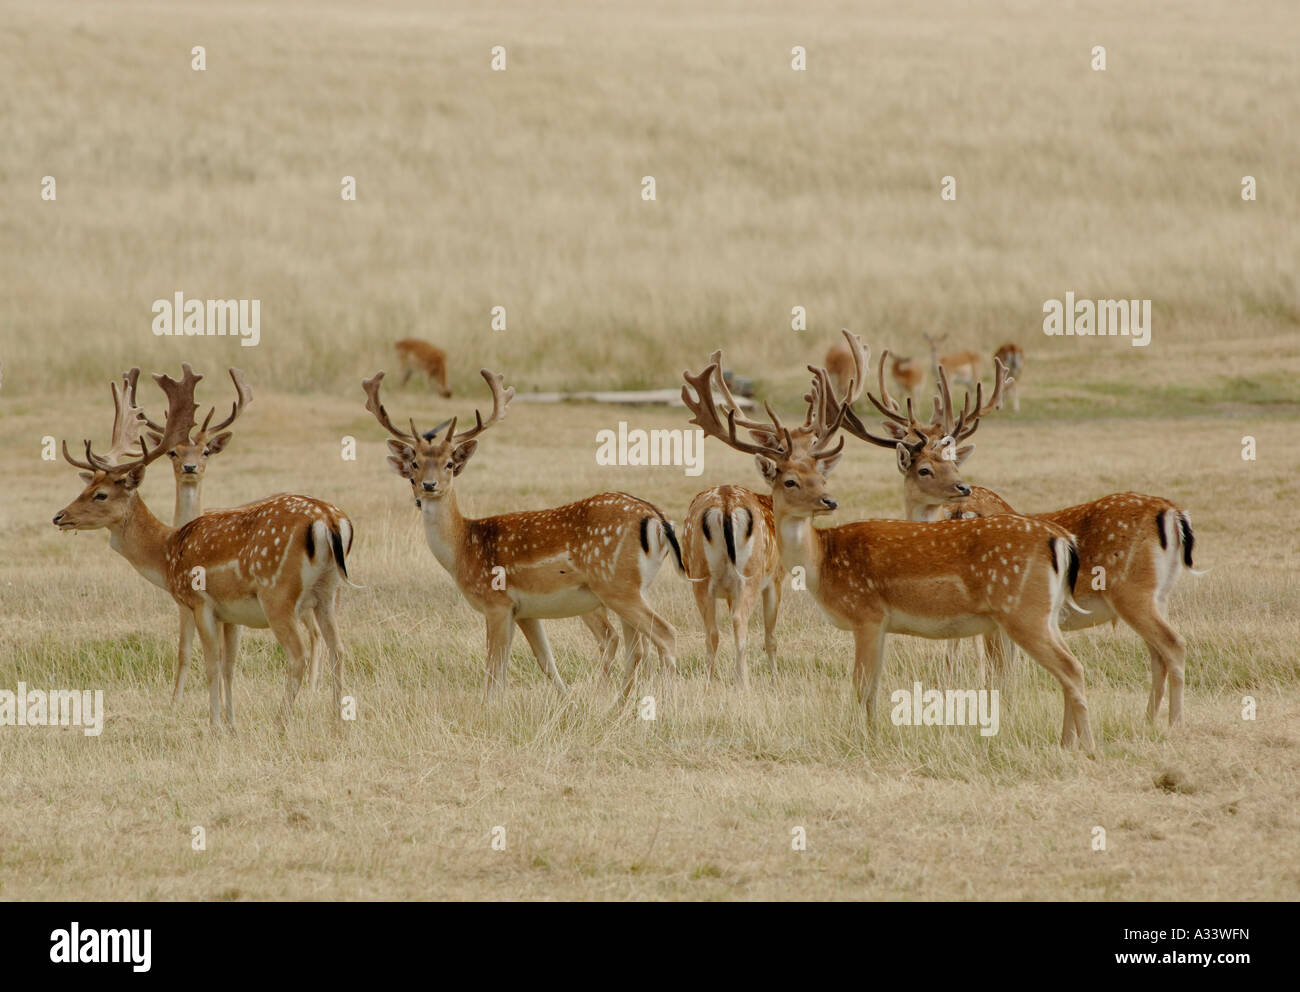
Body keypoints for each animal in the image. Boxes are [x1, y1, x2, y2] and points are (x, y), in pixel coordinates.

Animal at [52, 364, 356, 733]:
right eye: (86, 487)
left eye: (101, 494)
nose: (59, 516)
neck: (168, 551)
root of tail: (329, 519)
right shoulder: (232, 615)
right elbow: (229, 666)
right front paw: (232, 723)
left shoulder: (200, 602)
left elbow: (210, 664)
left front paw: (215, 726)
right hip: (329, 593)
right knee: (339, 649)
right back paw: (337, 722)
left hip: (278, 593)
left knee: (299, 654)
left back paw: (280, 724)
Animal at [362, 367, 682, 702]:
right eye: (415, 464)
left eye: (449, 463)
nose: (428, 485)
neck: (463, 548)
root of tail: (657, 518)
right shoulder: (524, 611)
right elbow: (545, 660)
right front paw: (567, 701)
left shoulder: (496, 602)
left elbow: (494, 670)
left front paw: (489, 706)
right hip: (632, 588)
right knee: (637, 647)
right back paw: (615, 705)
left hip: (616, 585)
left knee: (665, 634)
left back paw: (664, 700)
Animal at [681, 354, 782, 687]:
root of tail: (725, 503)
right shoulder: (775, 579)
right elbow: (770, 636)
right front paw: (774, 680)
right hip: (749, 575)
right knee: (739, 625)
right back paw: (744, 684)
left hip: (700, 575)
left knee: (712, 632)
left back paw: (709, 682)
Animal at [855, 339, 1194, 725]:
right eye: (922, 465)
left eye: (949, 459)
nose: (961, 487)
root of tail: (1173, 514)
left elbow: (997, 672)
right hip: (1158, 595)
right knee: (1157, 653)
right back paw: (1149, 721)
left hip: (1132, 592)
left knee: (1173, 645)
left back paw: (1173, 723)